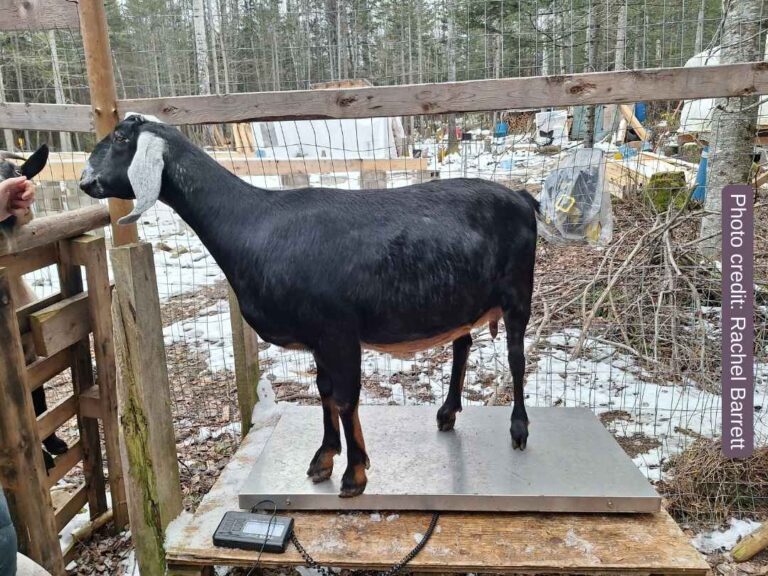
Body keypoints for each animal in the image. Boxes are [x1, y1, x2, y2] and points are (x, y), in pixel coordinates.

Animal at [79, 115, 538, 497]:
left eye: (119, 139)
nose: (85, 180)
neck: (253, 224)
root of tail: (520, 197)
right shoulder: (317, 336)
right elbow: (325, 392)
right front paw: (324, 458)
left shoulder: (338, 331)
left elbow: (347, 398)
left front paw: (355, 474)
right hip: (462, 302)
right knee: (463, 345)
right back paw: (446, 412)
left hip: (518, 292)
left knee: (517, 357)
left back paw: (518, 429)